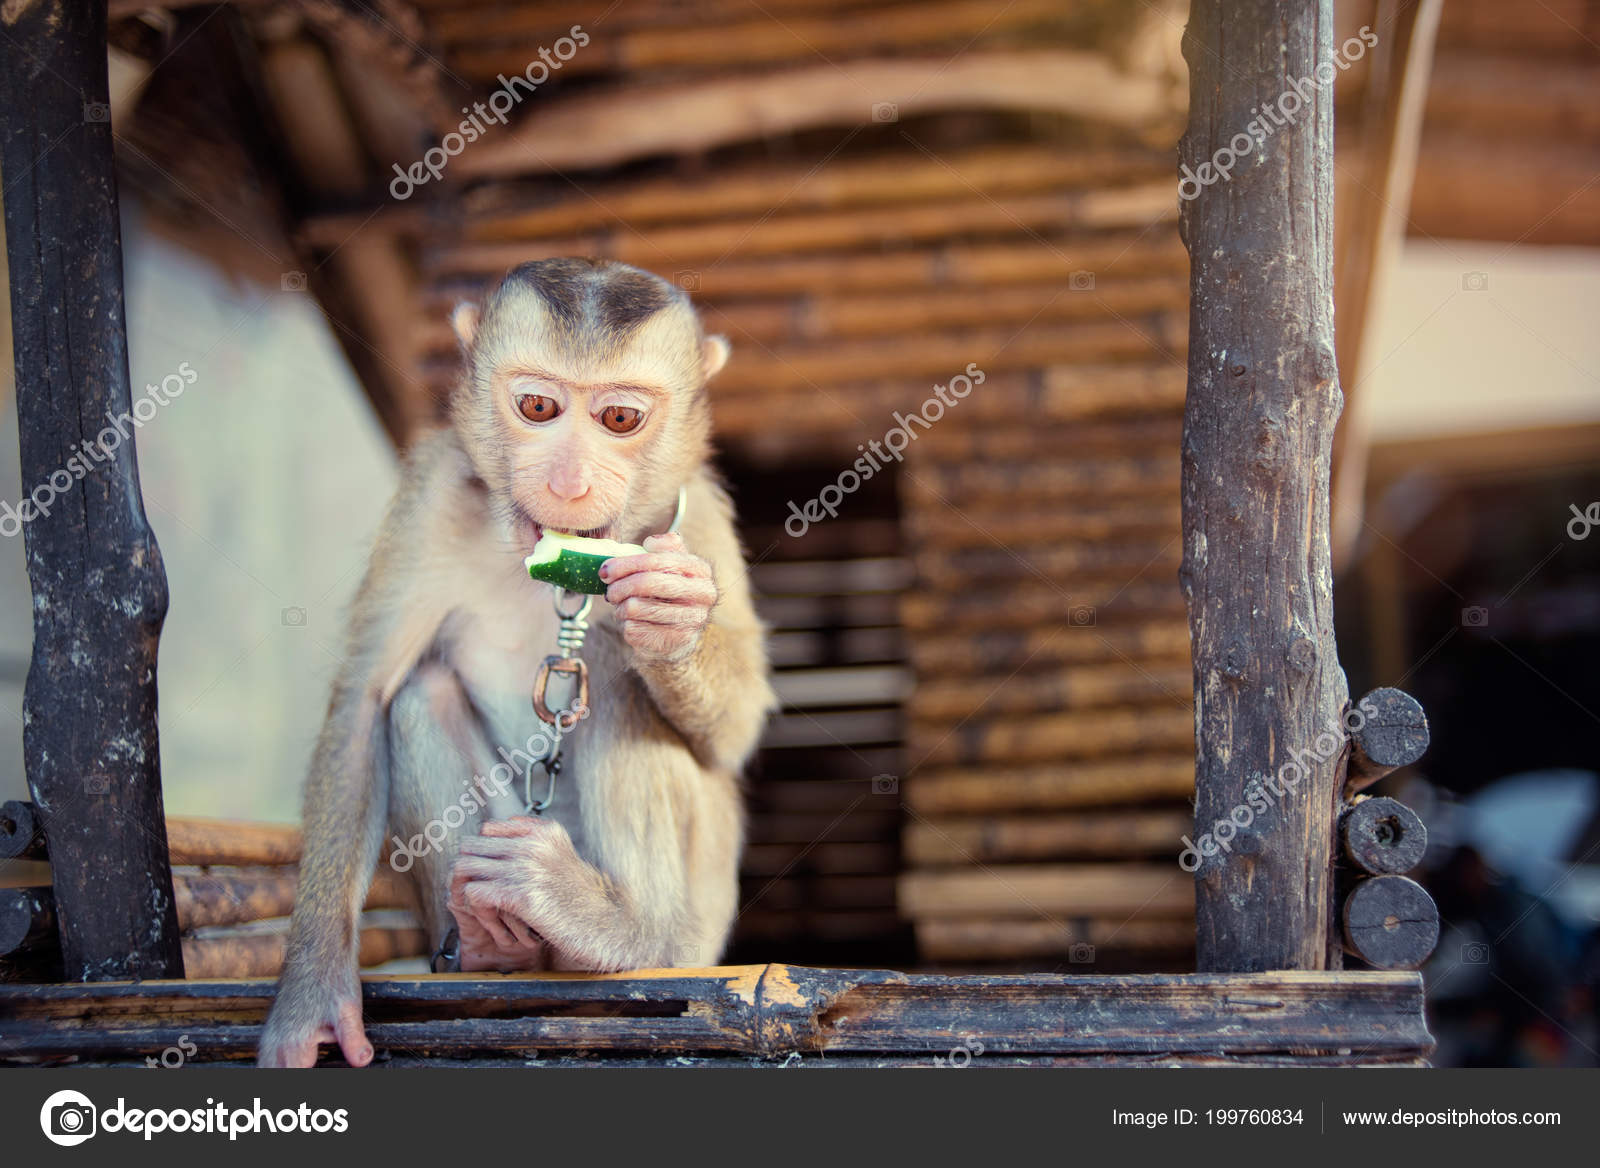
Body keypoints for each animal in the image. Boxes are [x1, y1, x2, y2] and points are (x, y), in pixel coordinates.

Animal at [257, 258, 776, 1068]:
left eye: (619, 419)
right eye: (537, 406)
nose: (567, 484)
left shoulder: (701, 518)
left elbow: (738, 728)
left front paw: (671, 623)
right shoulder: (432, 492)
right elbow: (364, 699)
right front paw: (310, 994)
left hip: (702, 920)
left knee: (621, 685)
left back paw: (623, 931)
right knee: (419, 699)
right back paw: (495, 943)